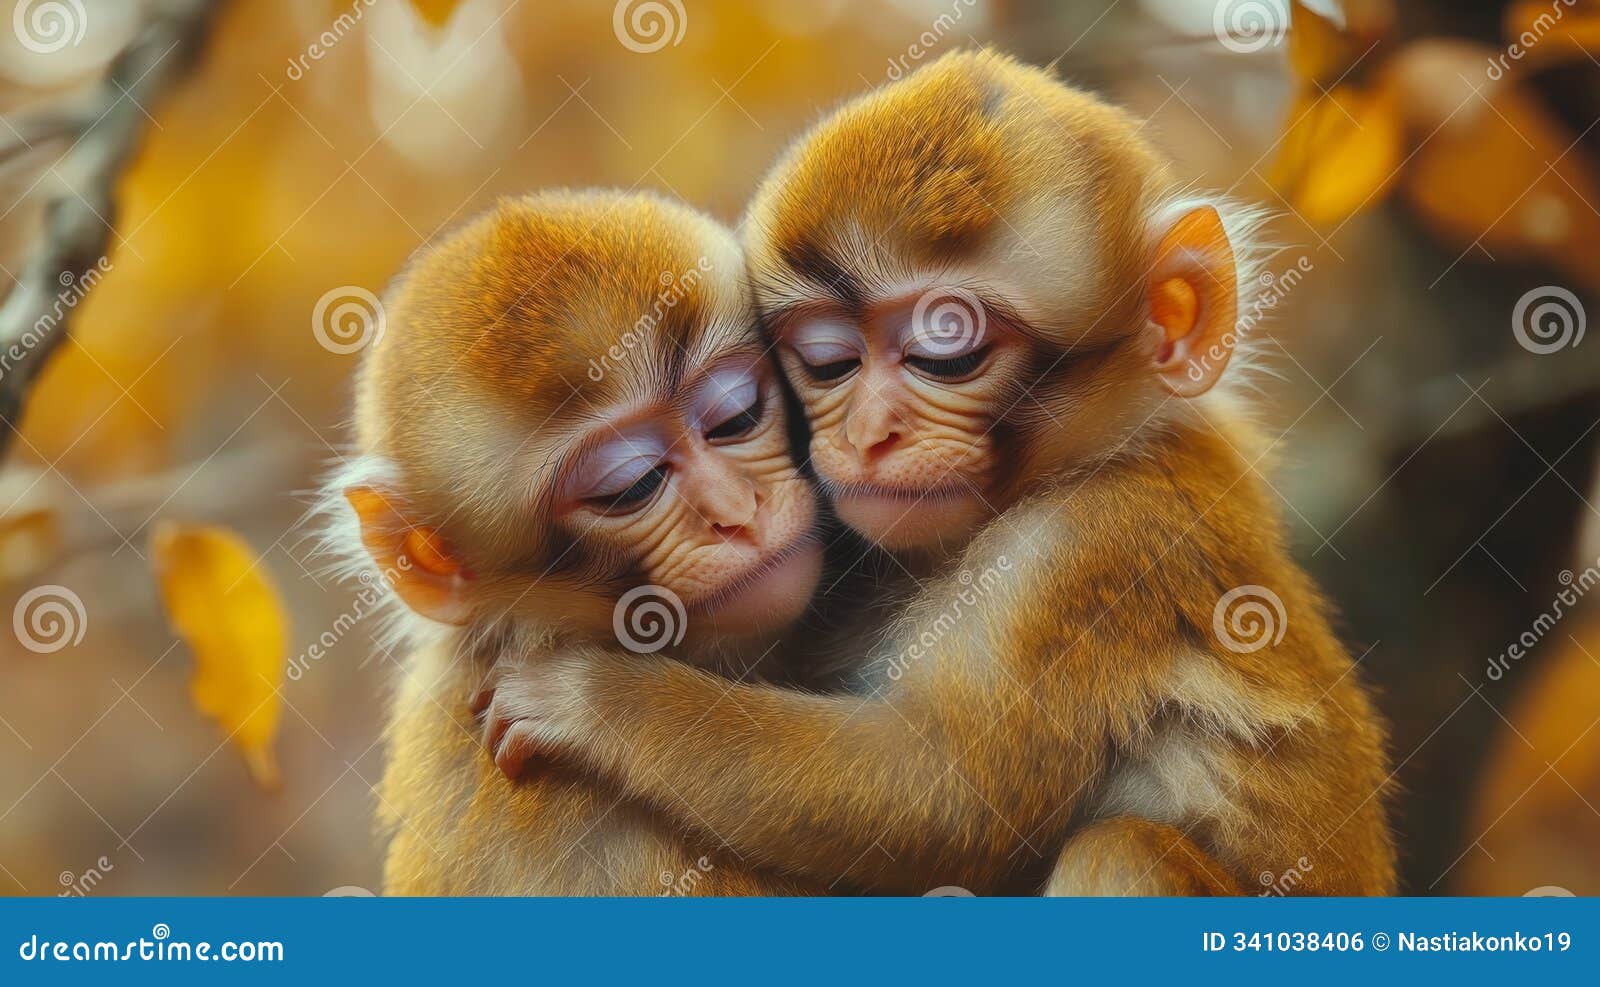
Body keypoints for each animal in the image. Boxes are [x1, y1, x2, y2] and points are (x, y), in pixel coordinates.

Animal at [474, 50, 1397, 897]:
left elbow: (947, 796)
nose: (870, 433)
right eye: (829, 360)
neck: (1095, 454)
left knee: (1121, 850)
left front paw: (594, 698)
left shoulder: (1087, 551)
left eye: (944, 351)